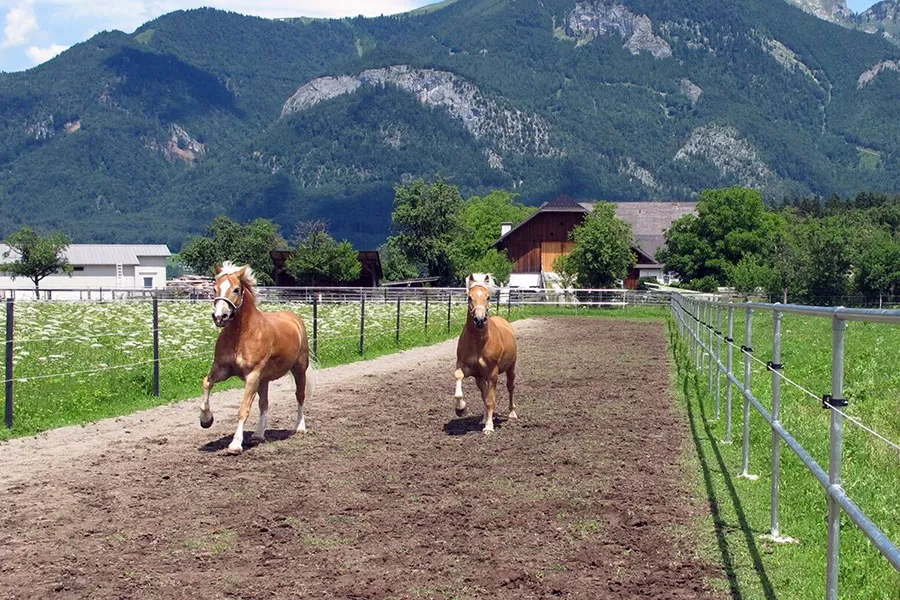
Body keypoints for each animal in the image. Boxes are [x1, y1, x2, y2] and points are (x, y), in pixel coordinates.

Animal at [199, 260, 314, 452]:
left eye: (236, 289)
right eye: (215, 289)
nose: (219, 317)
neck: (242, 335)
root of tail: (295, 319)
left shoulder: (252, 376)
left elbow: (243, 409)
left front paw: (235, 444)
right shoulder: (222, 369)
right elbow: (207, 382)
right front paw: (206, 420)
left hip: (298, 369)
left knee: (300, 396)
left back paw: (300, 427)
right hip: (264, 380)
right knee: (264, 405)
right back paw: (259, 435)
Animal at [454, 274, 516, 434]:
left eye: (488, 297)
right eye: (469, 297)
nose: (480, 320)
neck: (479, 343)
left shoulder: (493, 373)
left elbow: (490, 400)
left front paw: (489, 427)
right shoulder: (466, 367)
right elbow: (458, 379)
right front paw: (461, 409)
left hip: (511, 368)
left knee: (510, 387)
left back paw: (512, 413)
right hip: (480, 377)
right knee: (484, 393)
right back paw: (483, 418)